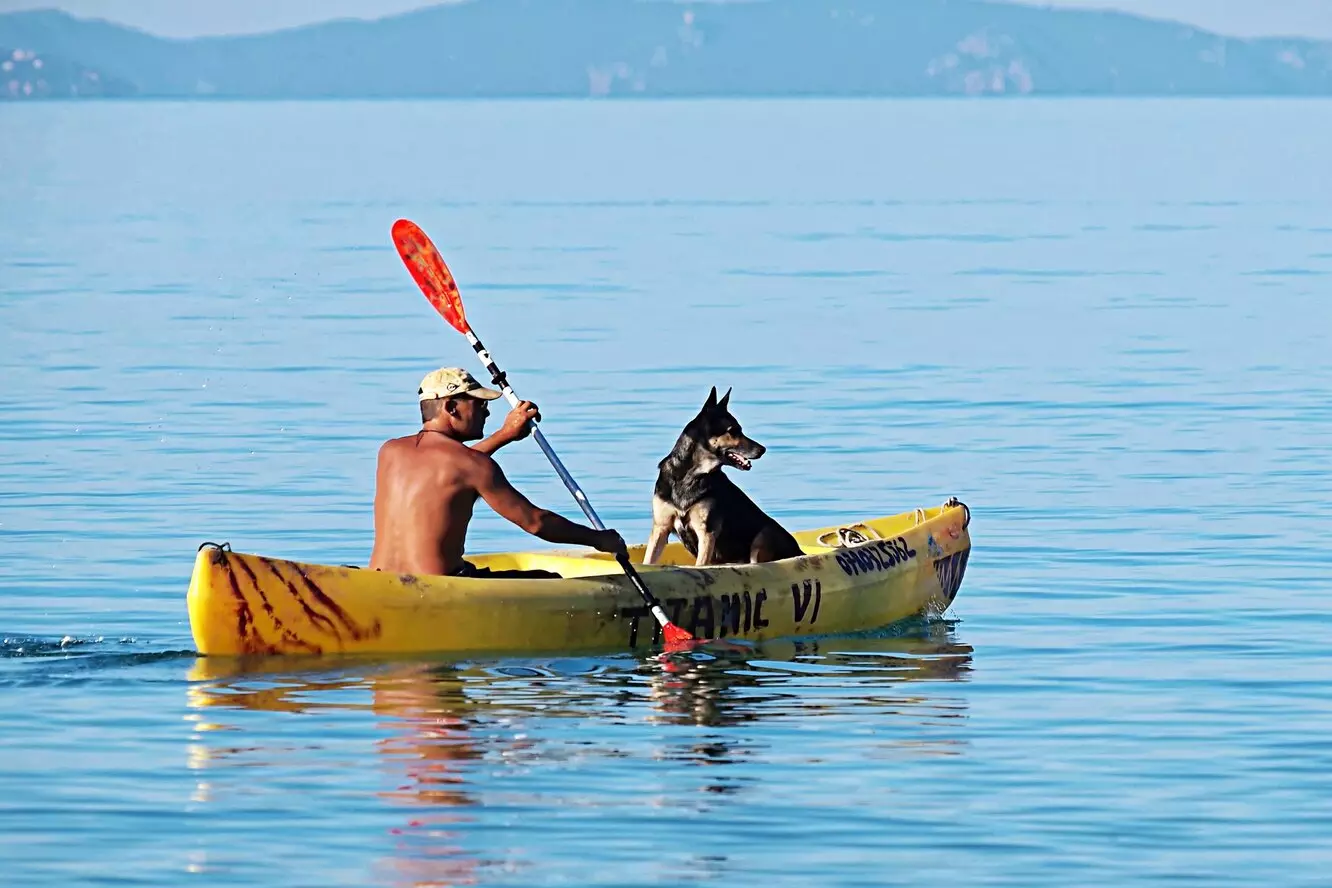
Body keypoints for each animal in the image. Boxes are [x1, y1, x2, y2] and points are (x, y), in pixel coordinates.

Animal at [642, 386, 799, 567]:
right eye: (734, 430)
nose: (763, 450)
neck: (690, 475)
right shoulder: (660, 528)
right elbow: (648, 560)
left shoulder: (706, 532)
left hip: (763, 536)